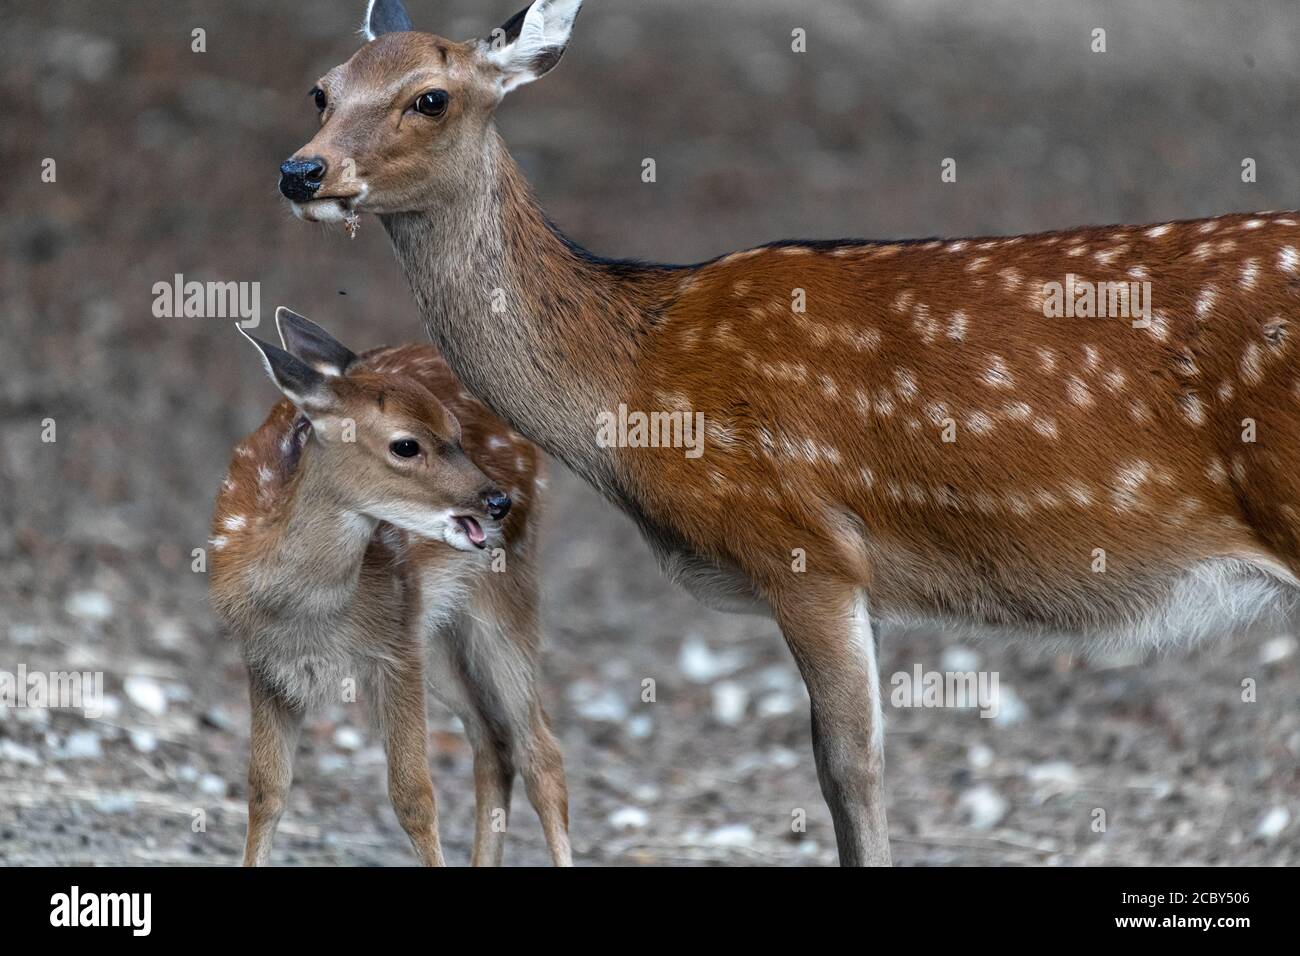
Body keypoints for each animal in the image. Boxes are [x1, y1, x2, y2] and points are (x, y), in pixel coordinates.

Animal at [208, 307, 571, 866]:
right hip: (437, 635)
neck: (308, 614)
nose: (496, 501)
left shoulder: (394, 648)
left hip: (505, 593)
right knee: (493, 741)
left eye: (456, 430)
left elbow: (414, 797)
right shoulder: (264, 661)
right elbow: (266, 790)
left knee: (541, 753)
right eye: (405, 445)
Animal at [277, 0, 1300, 865]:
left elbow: (848, 770)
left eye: (431, 97)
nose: (301, 170)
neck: (635, 383)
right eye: (323, 87)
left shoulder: (801, 542)